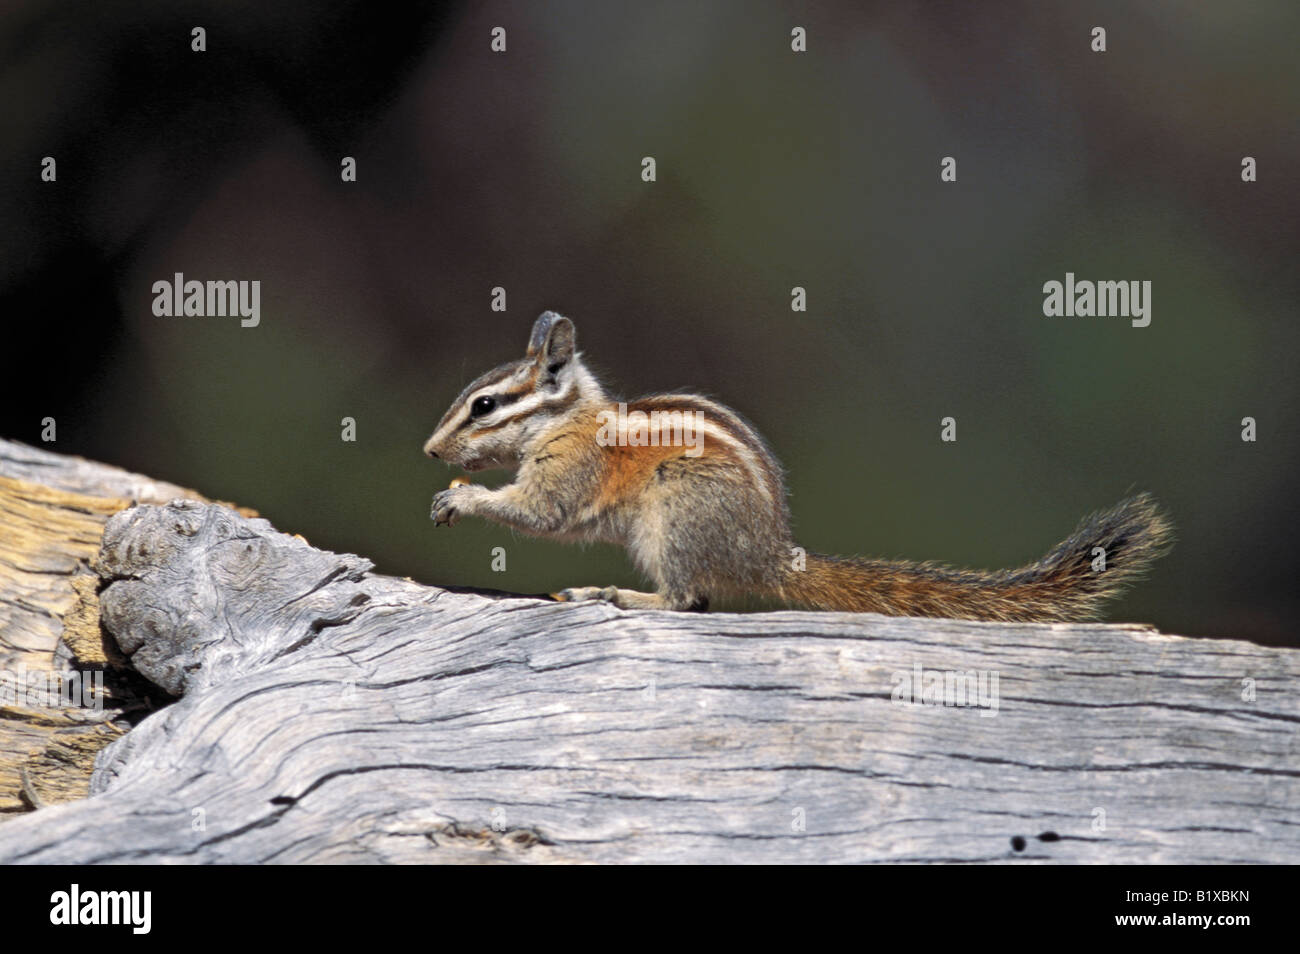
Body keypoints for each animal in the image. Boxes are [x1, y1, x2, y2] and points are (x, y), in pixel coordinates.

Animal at [424, 311, 1172, 621]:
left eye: (484, 406)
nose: (430, 452)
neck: (570, 417)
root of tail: (771, 555)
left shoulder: (569, 471)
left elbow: (541, 511)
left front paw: (460, 499)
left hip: (679, 508)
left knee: (688, 601)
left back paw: (617, 595)